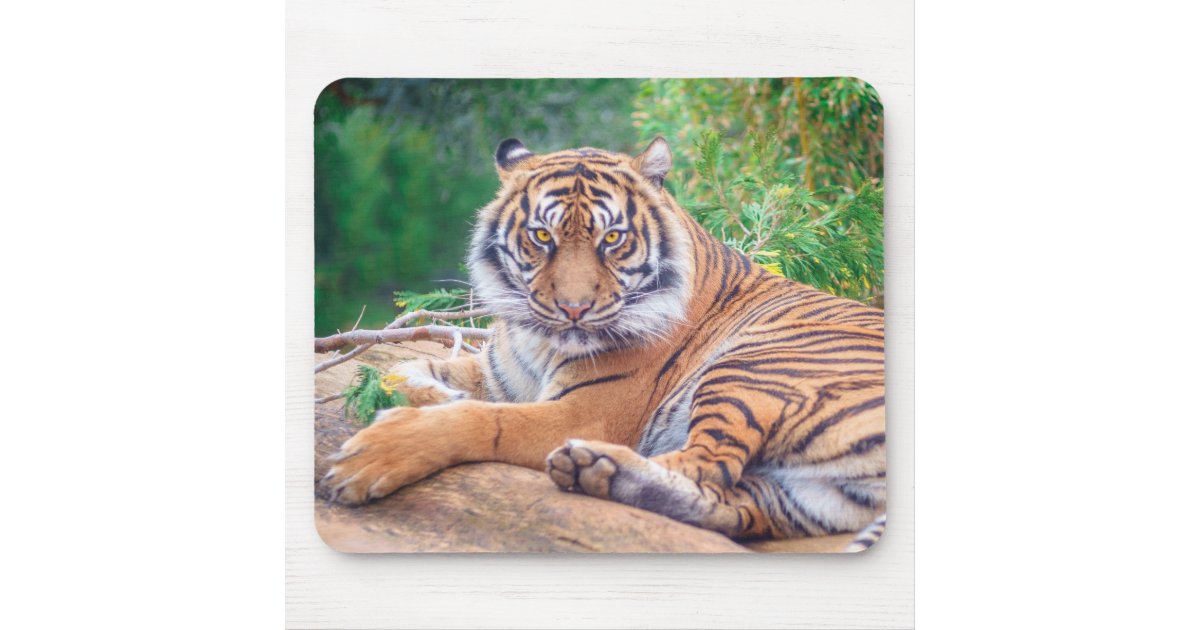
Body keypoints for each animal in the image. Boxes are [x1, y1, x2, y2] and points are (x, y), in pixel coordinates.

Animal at [320, 137, 887, 549]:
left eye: (612, 239)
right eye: (542, 237)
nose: (574, 309)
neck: (541, 341)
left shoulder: (582, 412)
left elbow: (484, 421)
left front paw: (373, 455)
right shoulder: (497, 374)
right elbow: (404, 370)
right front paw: (434, 394)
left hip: (752, 369)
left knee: (708, 463)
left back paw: (594, 463)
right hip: (804, 494)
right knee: (728, 504)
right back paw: (600, 474)